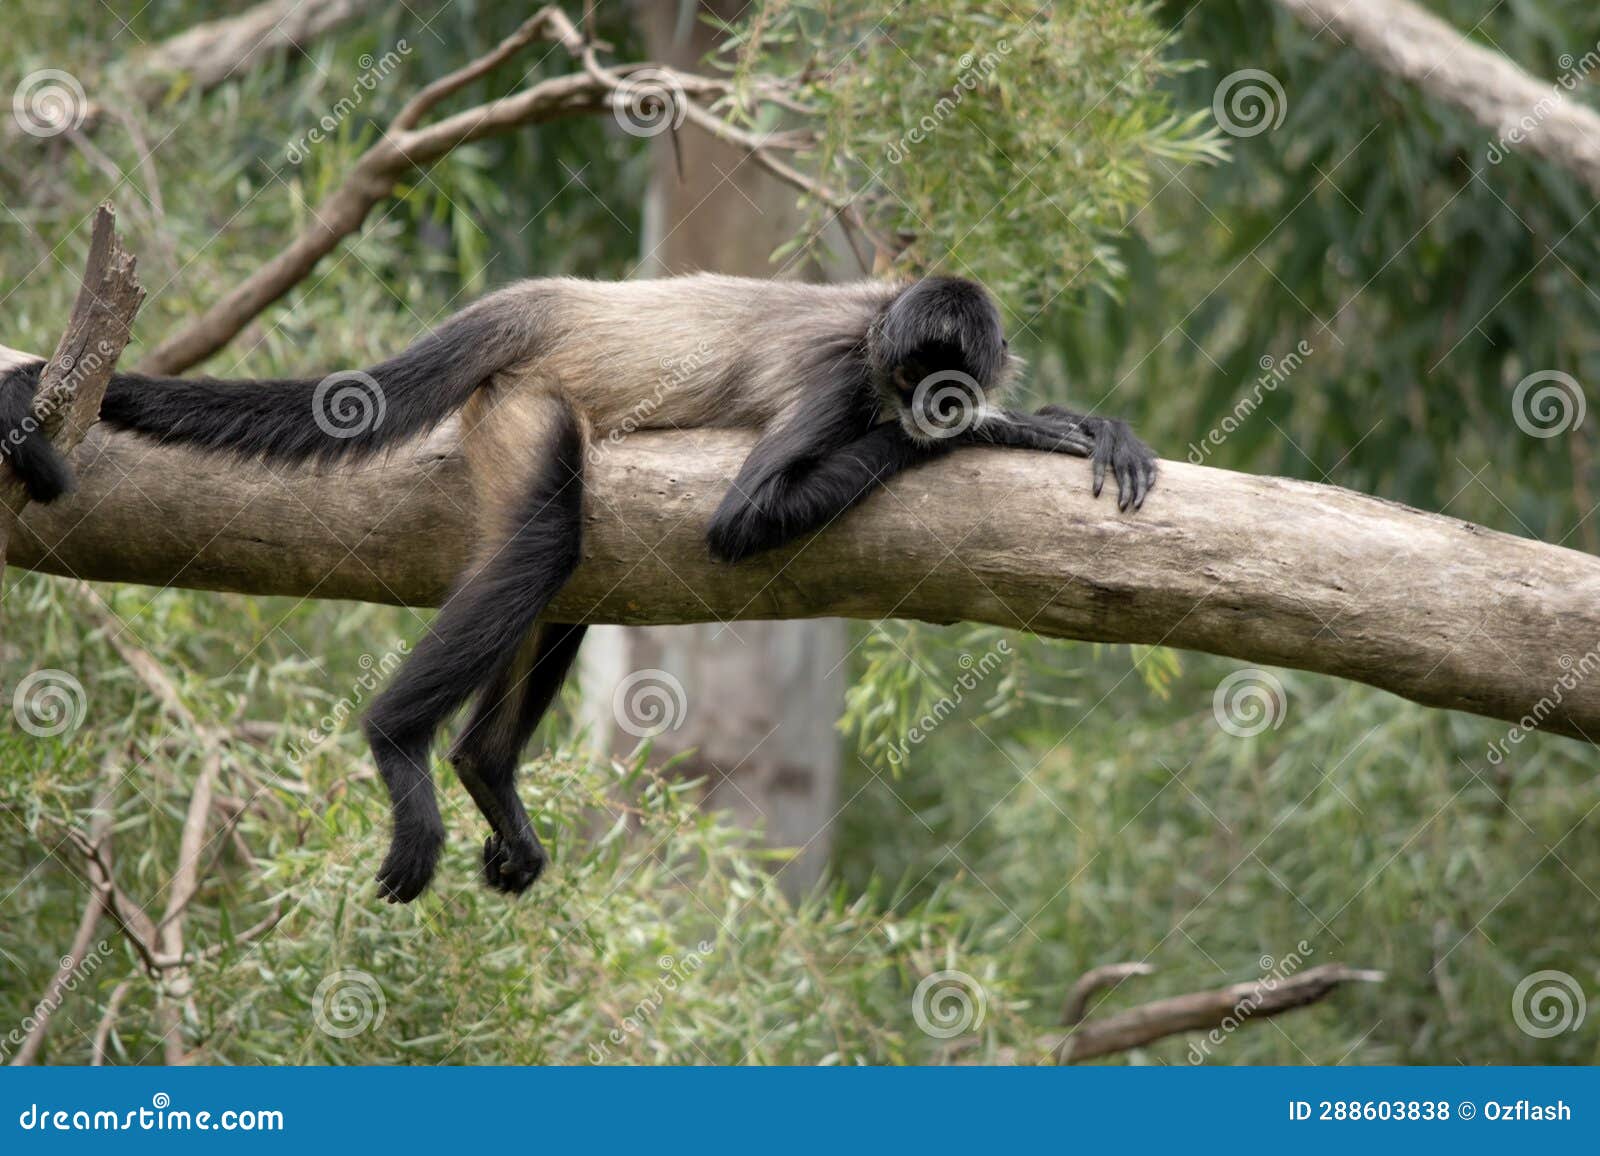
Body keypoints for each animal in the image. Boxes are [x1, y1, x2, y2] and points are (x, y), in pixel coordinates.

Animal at [0, 274, 1156, 903]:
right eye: (920, 382)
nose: (935, 408)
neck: (876, 327)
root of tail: (534, 302)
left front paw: (1074, 425)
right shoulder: (840, 381)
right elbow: (740, 521)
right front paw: (1003, 433)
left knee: (568, 567)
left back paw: (481, 765)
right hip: (523, 402)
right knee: (551, 536)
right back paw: (398, 741)